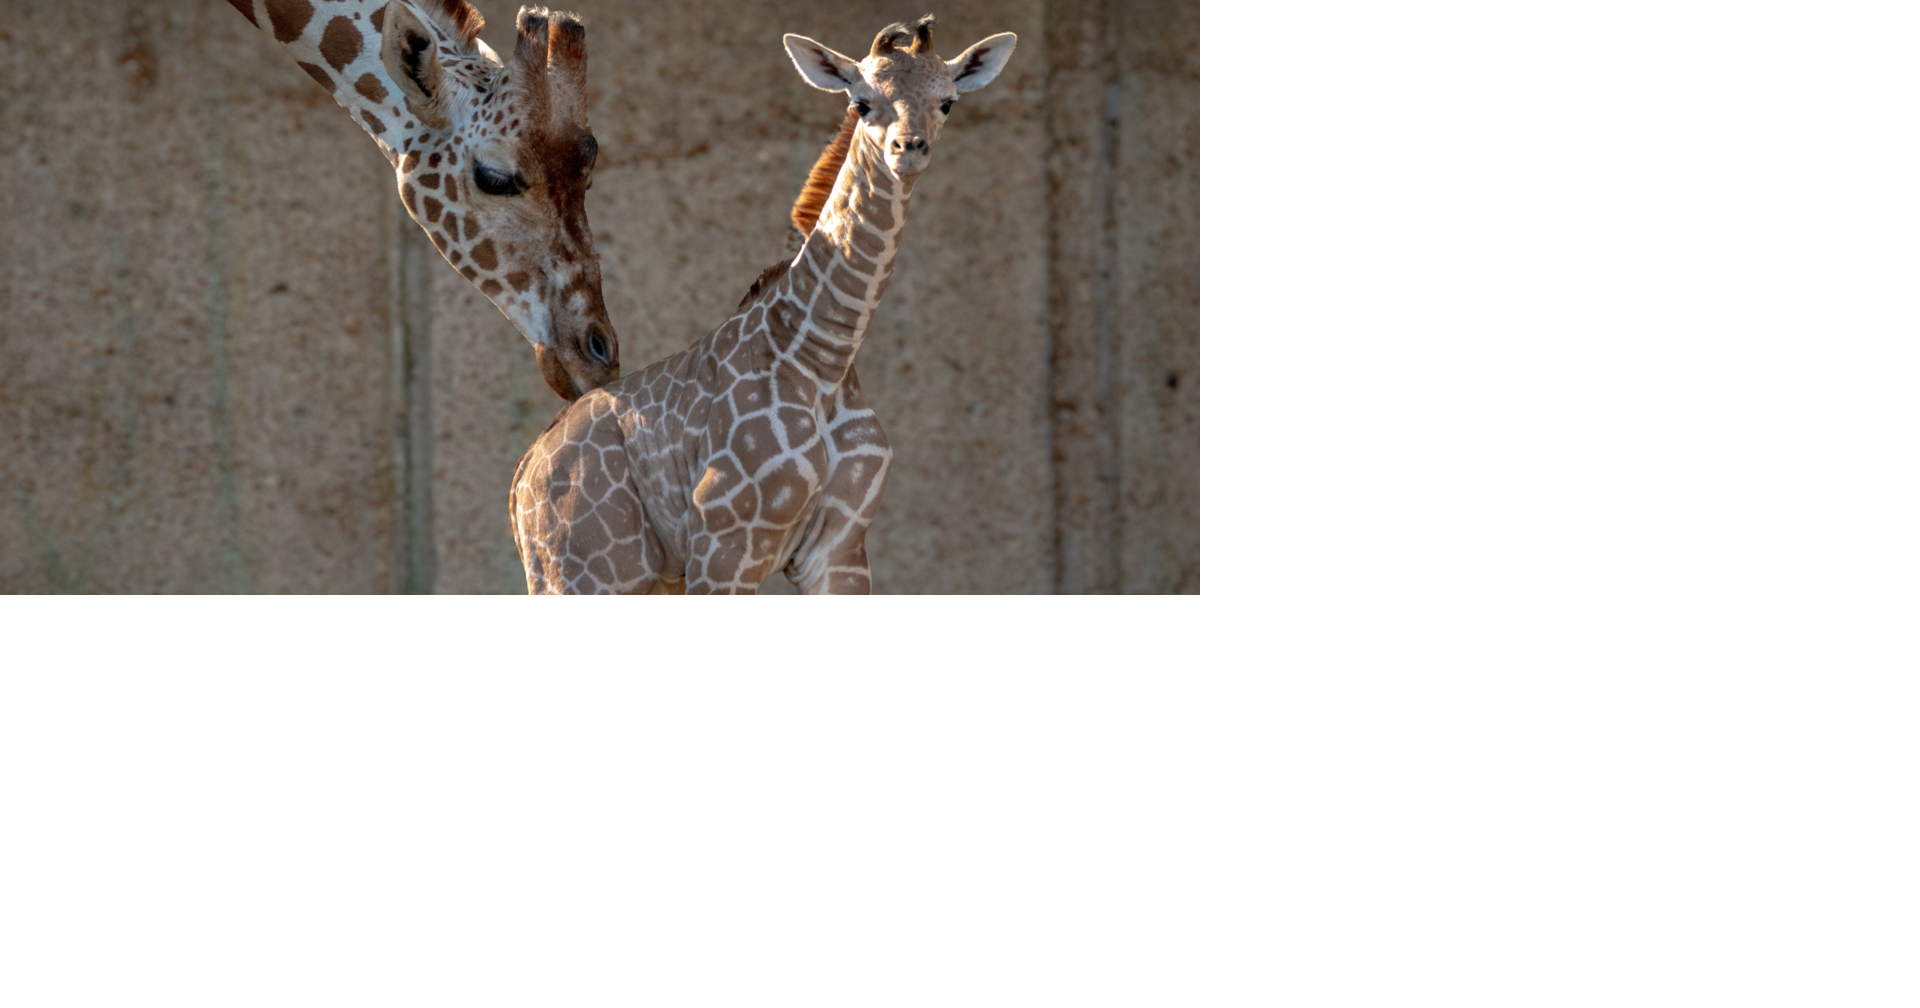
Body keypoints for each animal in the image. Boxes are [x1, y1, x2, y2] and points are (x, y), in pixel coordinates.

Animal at [508, 15, 1016, 594]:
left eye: (947, 101)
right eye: (862, 101)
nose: (909, 148)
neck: (824, 358)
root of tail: (522, 481)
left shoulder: (841, 549)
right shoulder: (726, 542)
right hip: (587, 571)